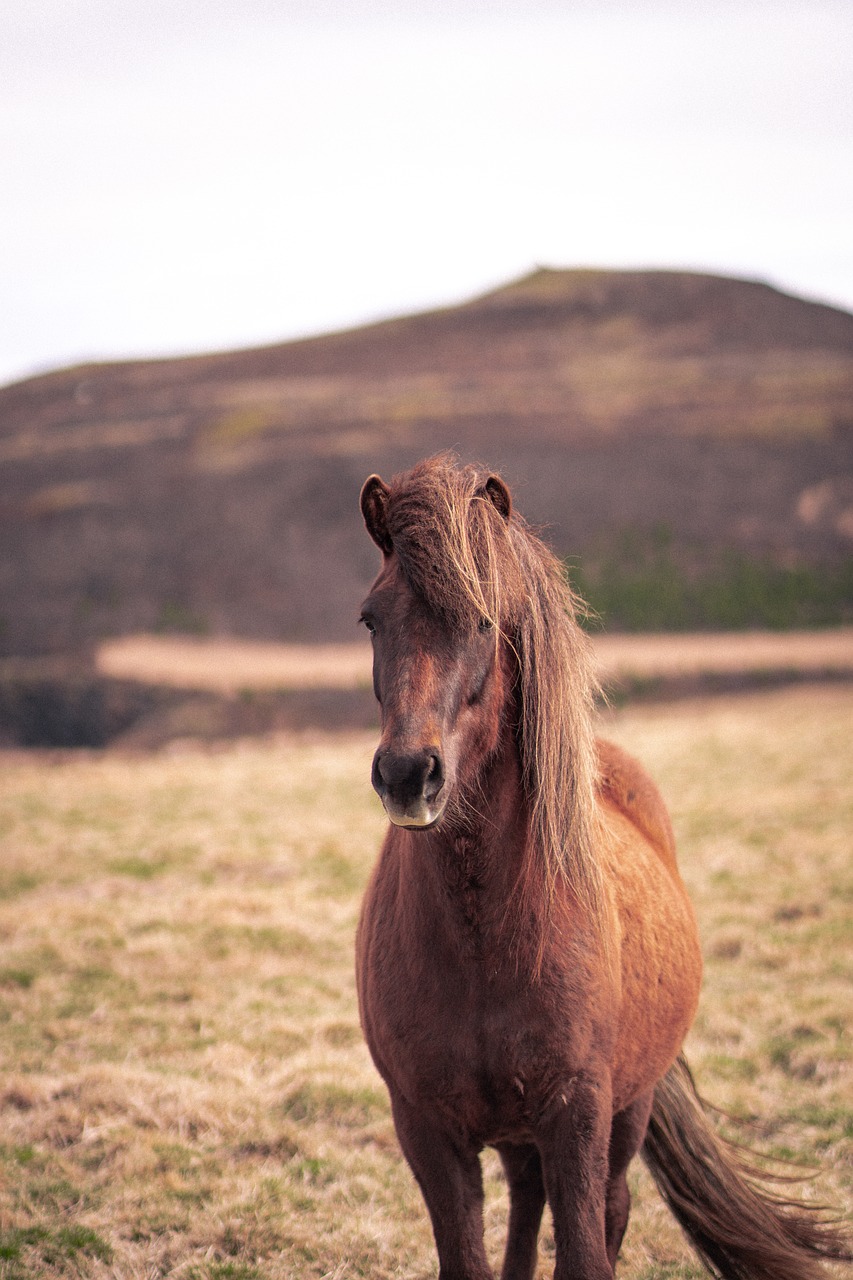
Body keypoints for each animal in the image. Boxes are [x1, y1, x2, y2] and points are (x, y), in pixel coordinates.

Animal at [354, 455, 850, 1280]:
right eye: (371, 618)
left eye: (484, 619)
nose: (406, 775)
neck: (483, 940)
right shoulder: (425, 1128)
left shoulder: (577, 1115)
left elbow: (586, 1246)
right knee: (526, 1204)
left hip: (626, 1109)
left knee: (607, 1210)